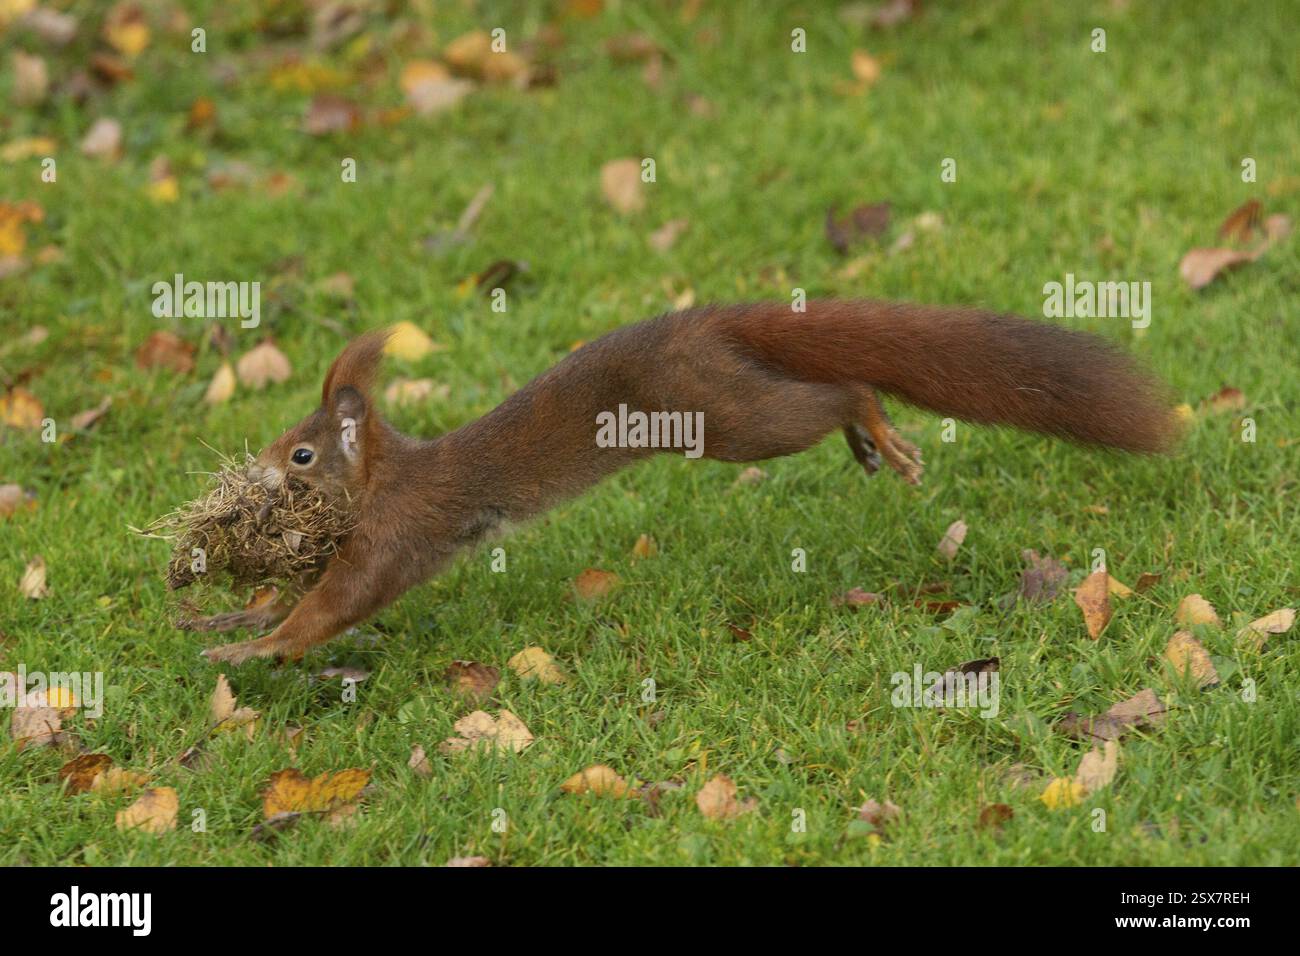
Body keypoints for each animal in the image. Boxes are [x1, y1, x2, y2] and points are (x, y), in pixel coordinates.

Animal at [186, 299, 1178, 665]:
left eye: (302, 455)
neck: (384, 473)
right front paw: (230, 620)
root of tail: (703, 322)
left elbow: (338, 602)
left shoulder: (398, 530)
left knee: (835, 393)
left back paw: (876, 428)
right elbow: (313, 594)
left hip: (721, 421)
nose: (261, 469)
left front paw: (251, 654)